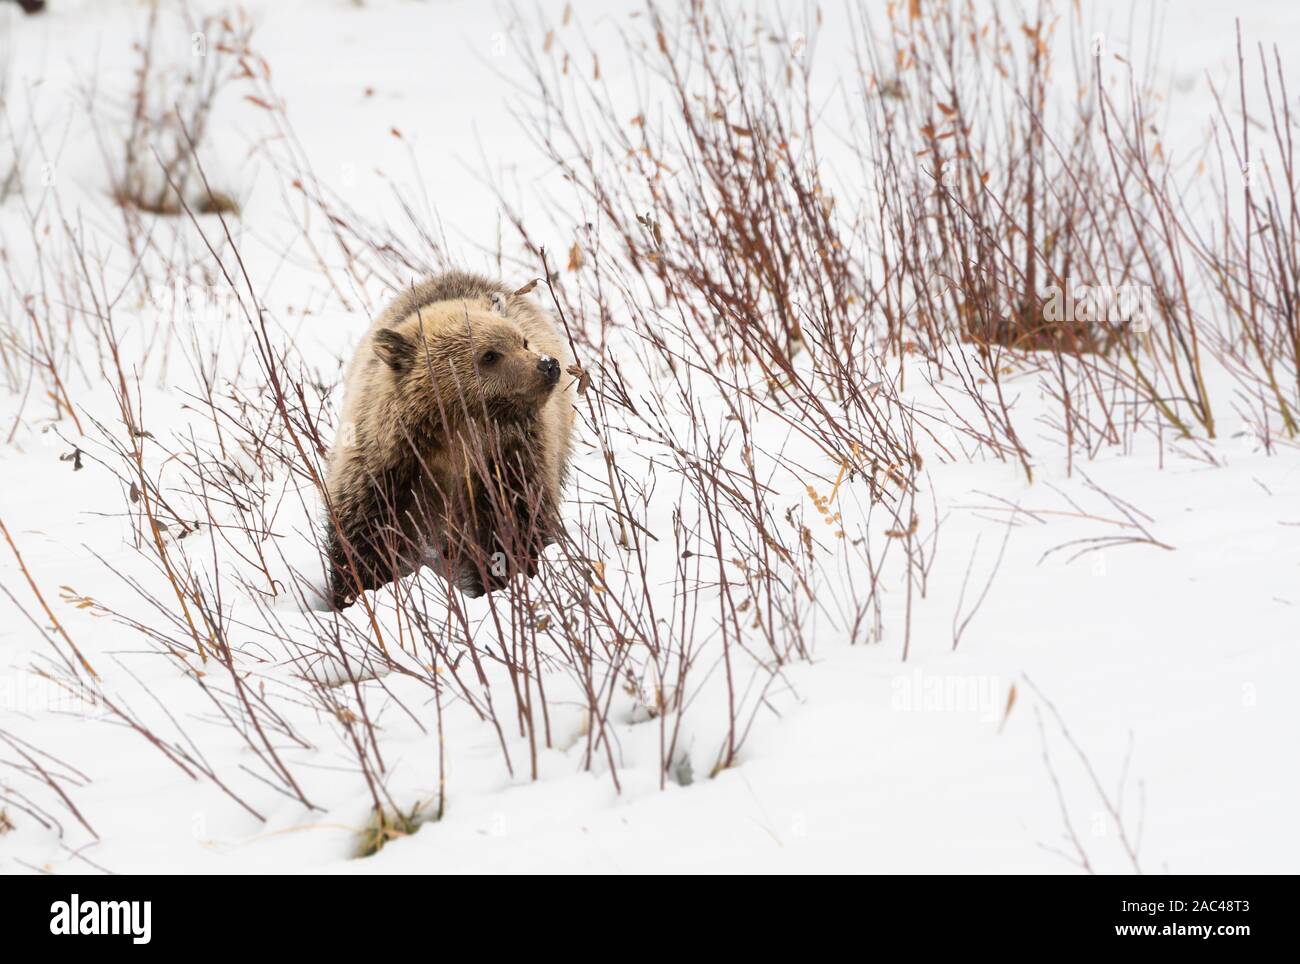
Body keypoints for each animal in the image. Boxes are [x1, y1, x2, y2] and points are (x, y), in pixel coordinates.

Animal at [324, 271, 575, 609]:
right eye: (489, 355)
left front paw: (508, 580)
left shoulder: (509, 460)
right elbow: (364, 532)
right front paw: (357, 593)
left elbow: (515, 522)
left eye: (521, 340)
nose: (548, 365)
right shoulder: (386, 465)